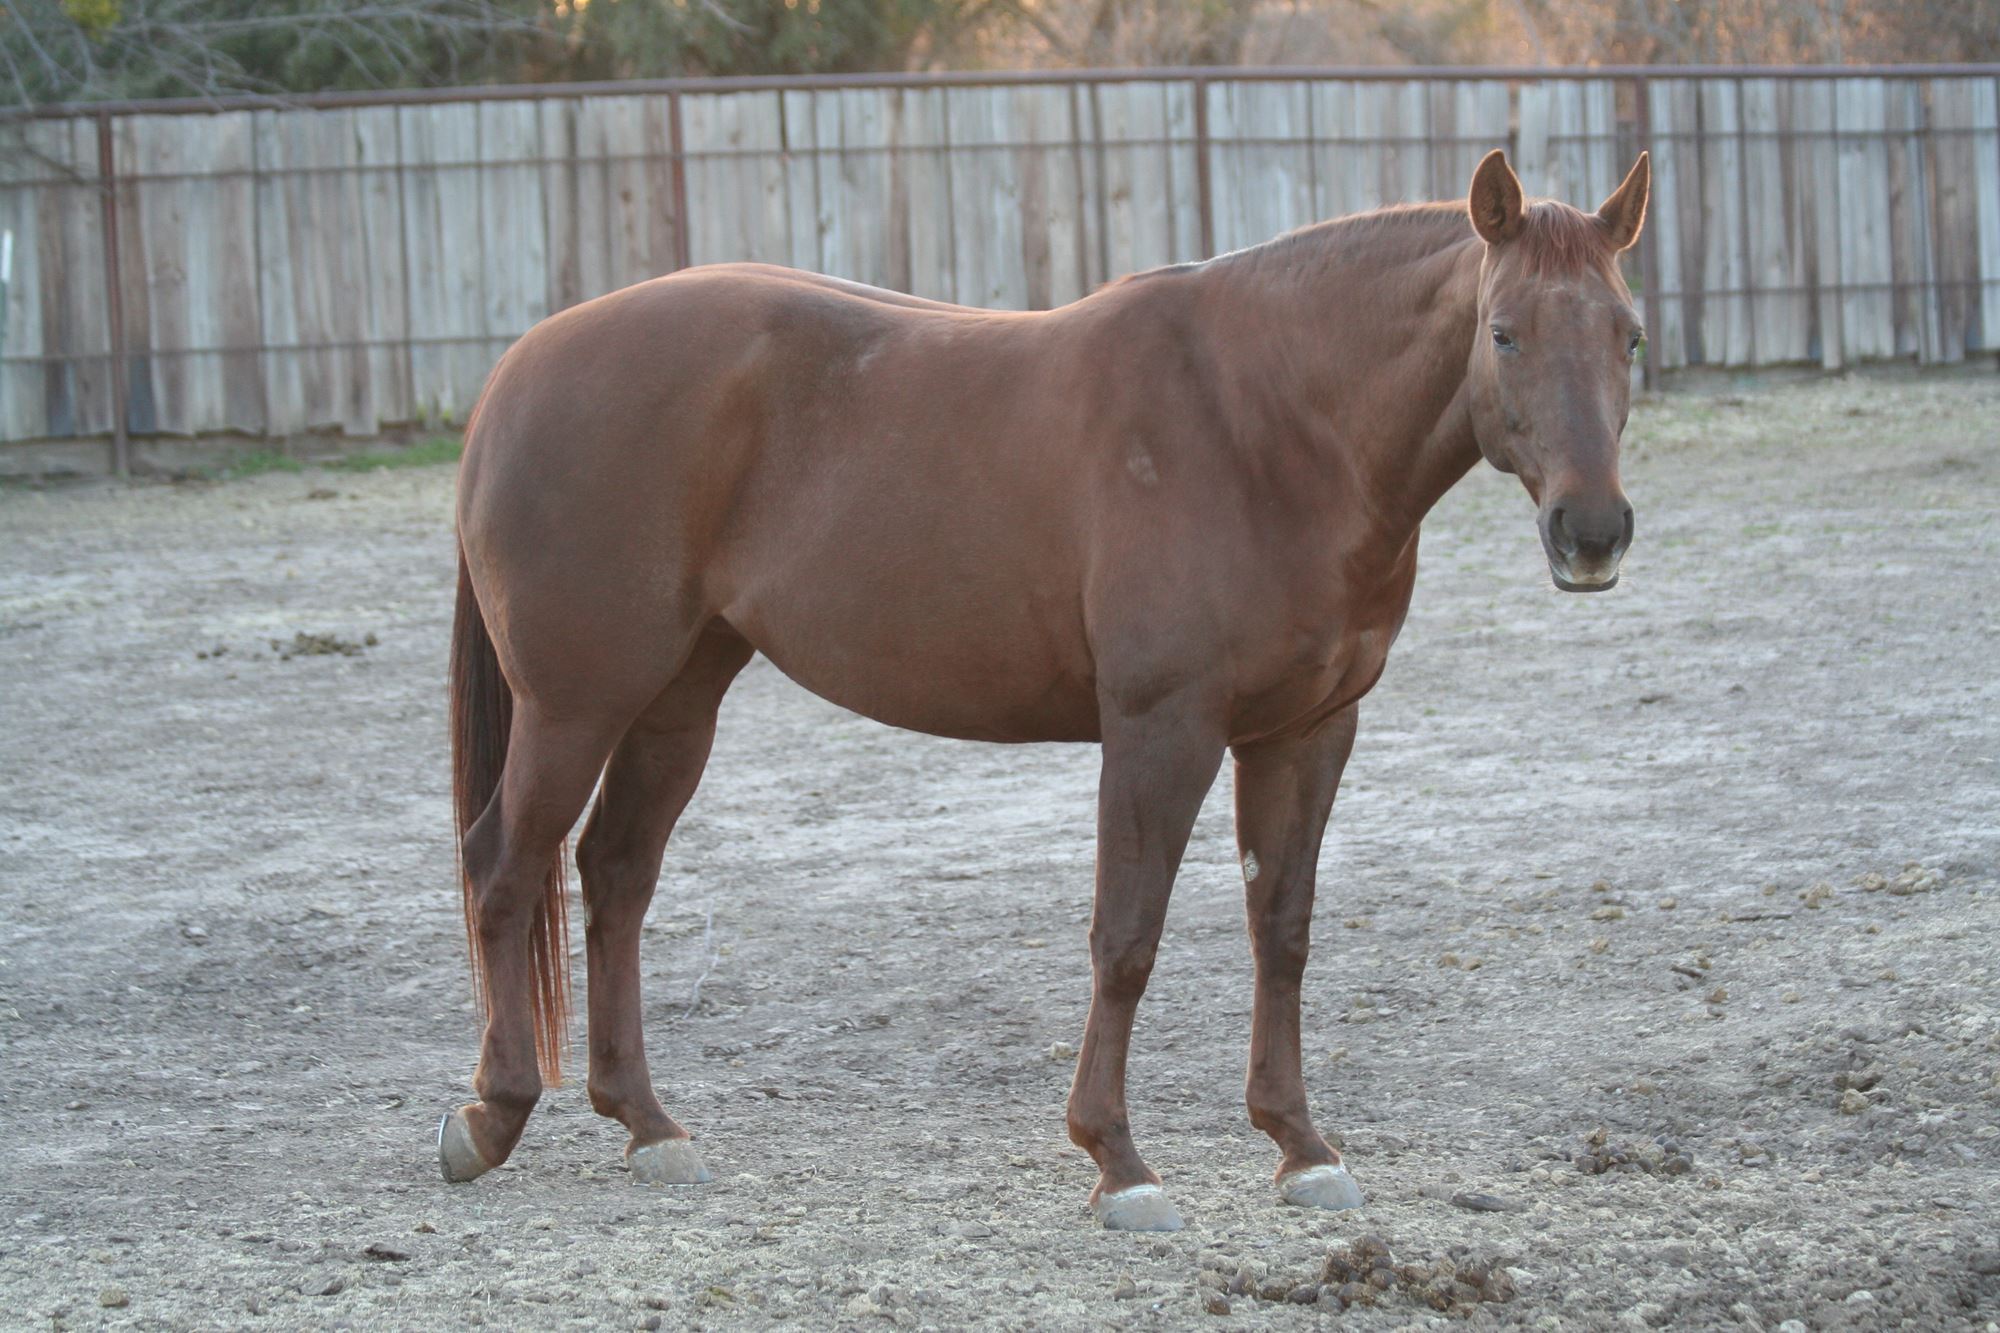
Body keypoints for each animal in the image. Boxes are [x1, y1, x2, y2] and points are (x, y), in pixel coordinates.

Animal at [437, 147, 1650, 1231]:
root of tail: (515, 371)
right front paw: (1118, 1162)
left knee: (614, 874)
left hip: (677, 697)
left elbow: (1283, 930)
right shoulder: (1162, 730)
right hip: (575, 703)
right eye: (1503, 331)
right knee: (504, 863)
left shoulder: (1307, 731)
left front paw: (1299, 1145)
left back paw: (645, 1124)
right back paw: (493, 1116)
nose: (1590, 533)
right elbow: (1127, 936)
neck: (1264, 422)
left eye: (1627, 335)